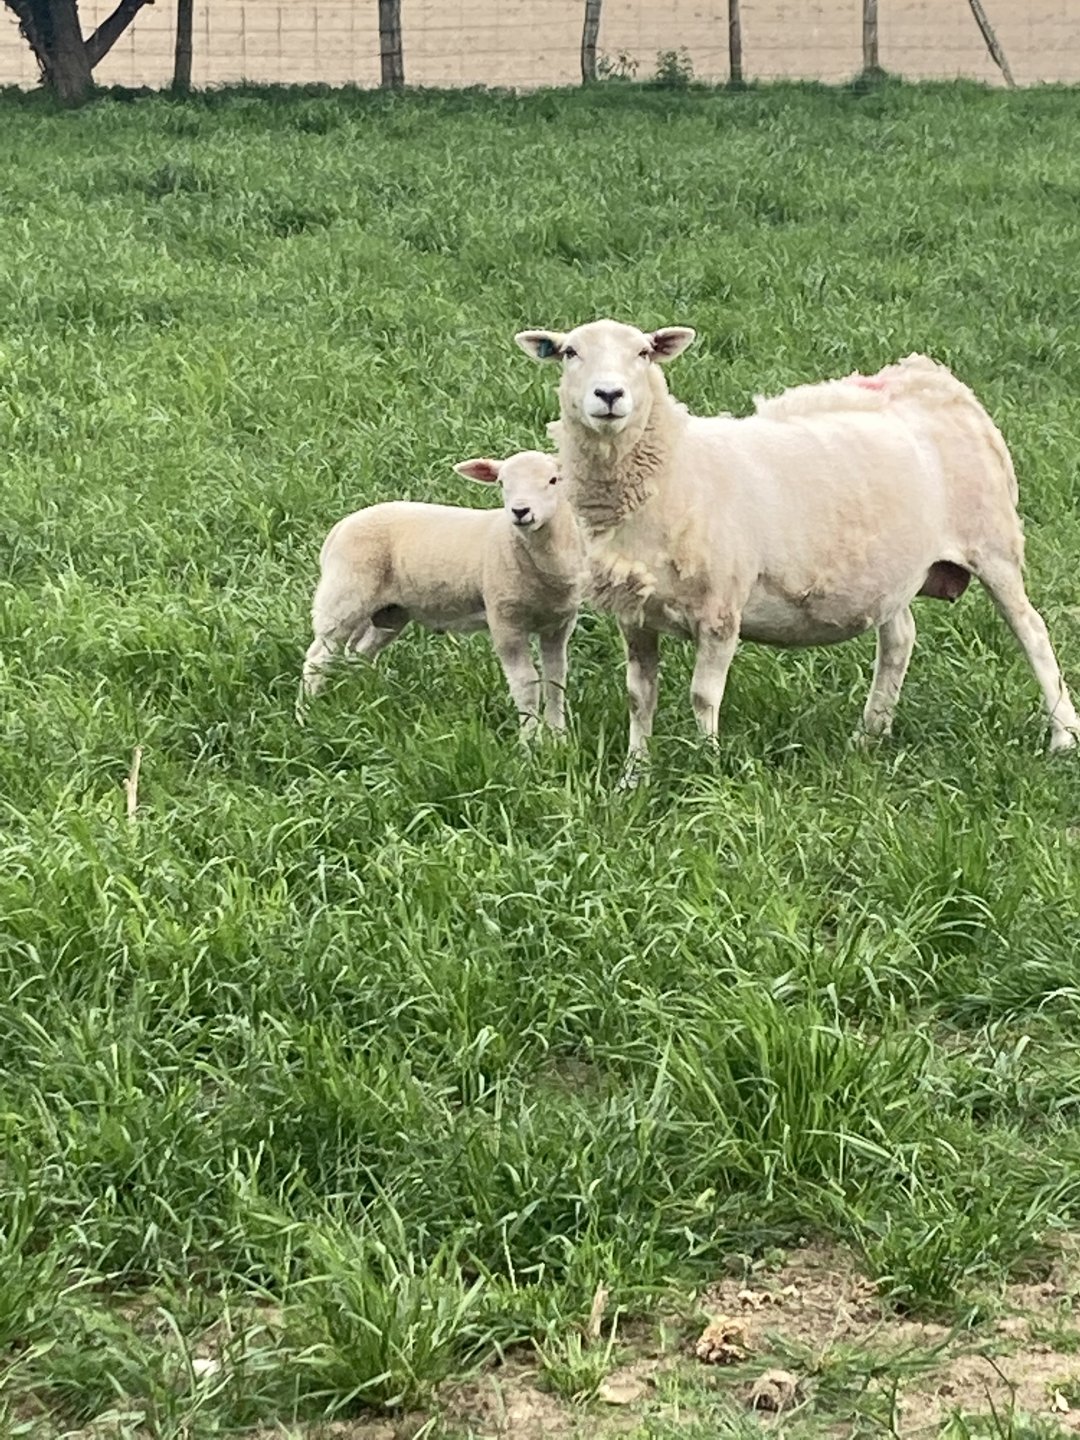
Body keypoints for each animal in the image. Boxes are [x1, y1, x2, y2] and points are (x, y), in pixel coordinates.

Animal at [299, 450, 584, 739]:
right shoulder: (505, 623)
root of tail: (340, 527)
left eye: (553, 480)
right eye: (502, 483)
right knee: (316, 658)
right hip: (344, 596)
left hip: (389, 613)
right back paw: (307, 715)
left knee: (359, 653)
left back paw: (364, 696)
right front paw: (530, 742)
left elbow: (556, 679)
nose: (520, 511)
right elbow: (526, 685)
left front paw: (558, 737)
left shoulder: (560, 624)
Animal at [516, 318, 1079, 778]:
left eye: (643, 353)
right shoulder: (634, 613)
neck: (674, 465)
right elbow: (639, 697)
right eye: (570, 352)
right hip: (893, 571)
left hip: (993, 543)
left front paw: (707, 767)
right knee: (900, 639)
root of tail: (932, 377)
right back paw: (869, 735)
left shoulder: (721, 608)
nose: (609, 395)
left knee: (1033, 632)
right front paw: (634, 775)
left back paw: (1063, 736)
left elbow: (703, 695)